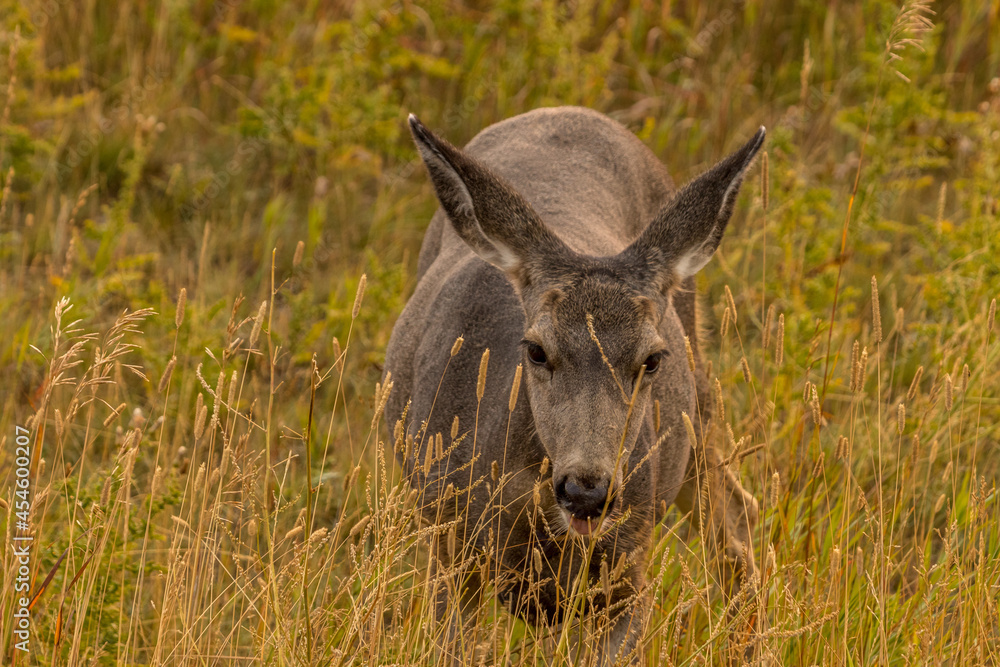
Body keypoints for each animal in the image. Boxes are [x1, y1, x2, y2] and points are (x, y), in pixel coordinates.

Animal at [383, 106, 764, 665]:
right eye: (536, 349)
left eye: (653, 359)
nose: (587, 490)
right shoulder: (448, 546)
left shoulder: (627, 570)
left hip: (698, 407)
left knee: (736, 525)